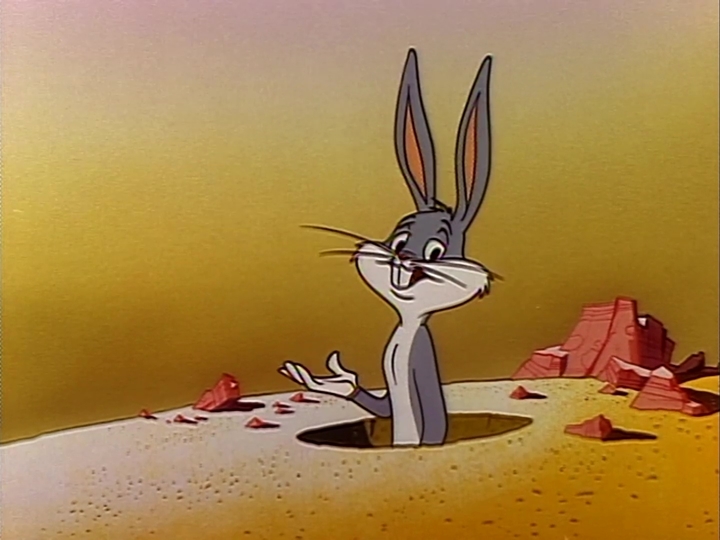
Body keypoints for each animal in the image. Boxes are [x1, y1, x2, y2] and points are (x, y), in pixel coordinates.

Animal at [280, 48, 497, 447]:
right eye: (399, 240)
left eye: (436, 252)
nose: (405, 258)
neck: (408, 327)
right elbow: (382, 407)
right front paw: (336, 383)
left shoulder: (420, 364)